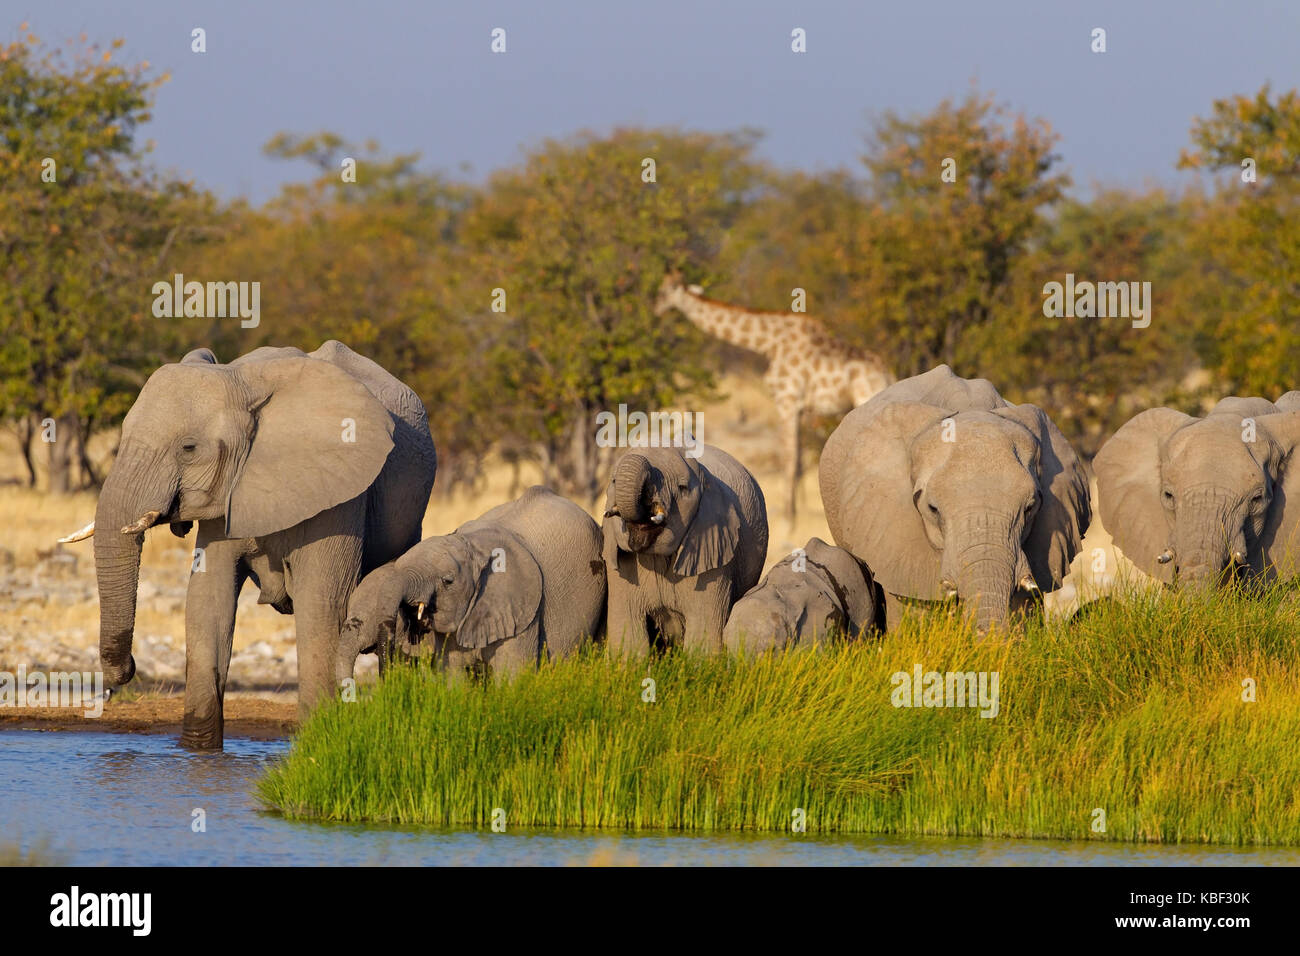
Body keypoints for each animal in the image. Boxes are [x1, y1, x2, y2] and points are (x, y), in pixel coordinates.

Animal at [57, 341, 437, 749]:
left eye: (189, 448)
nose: (125, 674)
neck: (241, 381)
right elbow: (208, 600)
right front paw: (199, 751)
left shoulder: (344, 493)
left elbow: (322, 604)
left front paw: (315, 745)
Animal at [337, 486, 606, 681]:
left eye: (447, 581)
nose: (385, 677)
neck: (471, 545)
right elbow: (453, 678)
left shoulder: (524, 612)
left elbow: (513, 677)